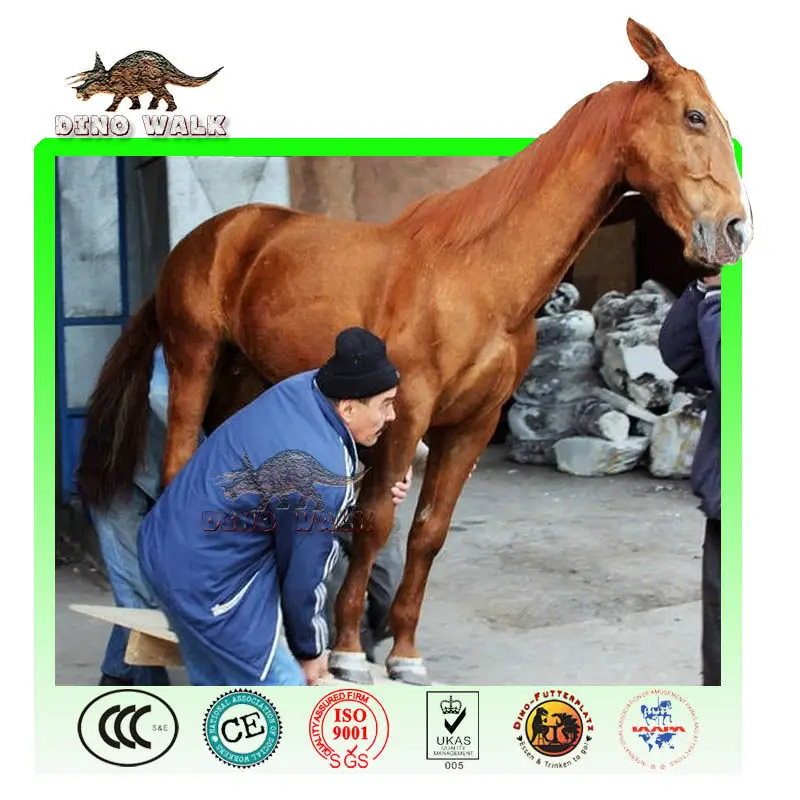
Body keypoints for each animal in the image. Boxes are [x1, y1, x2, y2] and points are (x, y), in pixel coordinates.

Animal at [76, 18, 753, 685]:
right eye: (695, 117)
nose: (735, 230)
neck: (479, 277)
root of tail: (208, 237)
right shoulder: (407, 410)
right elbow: (375, 521)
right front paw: (349, 651)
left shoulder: (472, 425)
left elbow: (429, 533)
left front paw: (403, 653)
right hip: (195, 359)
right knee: (177, 469)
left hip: (245, 381)